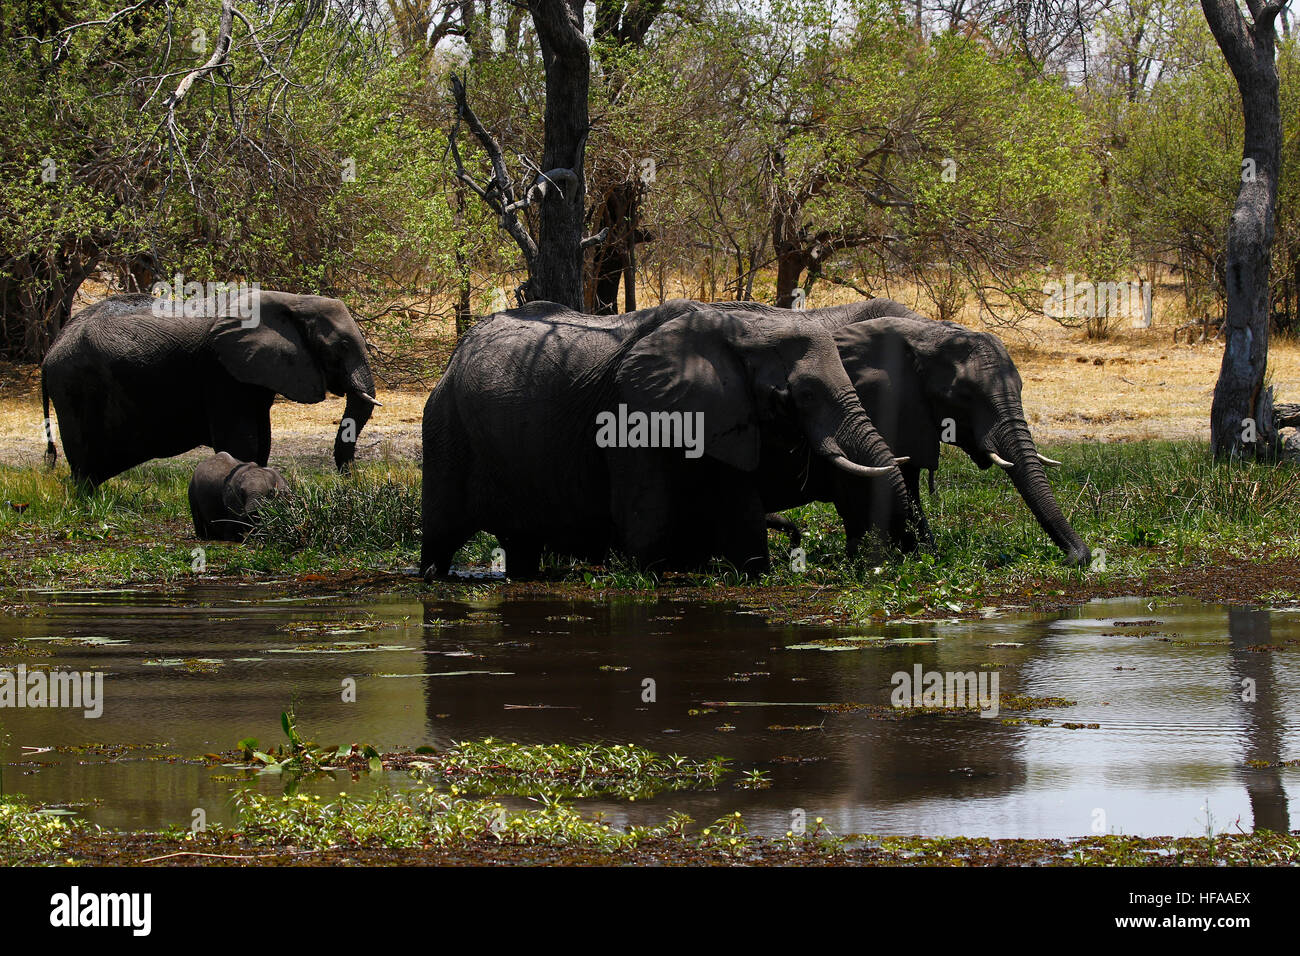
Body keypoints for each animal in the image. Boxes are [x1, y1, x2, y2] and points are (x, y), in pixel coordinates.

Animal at [40, 290, 380, 487]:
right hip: (73, 387)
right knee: (82, 461)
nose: (352, 478)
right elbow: (242, 441)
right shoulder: (220, 371)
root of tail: (49, 352)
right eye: (341, 347)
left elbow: (262, 439)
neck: (291, 300)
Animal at [420, 300, 915, 579]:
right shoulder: (631, 411)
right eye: (801, 396)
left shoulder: (725, 419)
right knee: (440, 538)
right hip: (444, 427)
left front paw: (757, 576)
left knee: (522, 548)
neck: (743, 327)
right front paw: (654, 575)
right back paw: (430, 578)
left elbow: (741, 514)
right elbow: (647, 525)